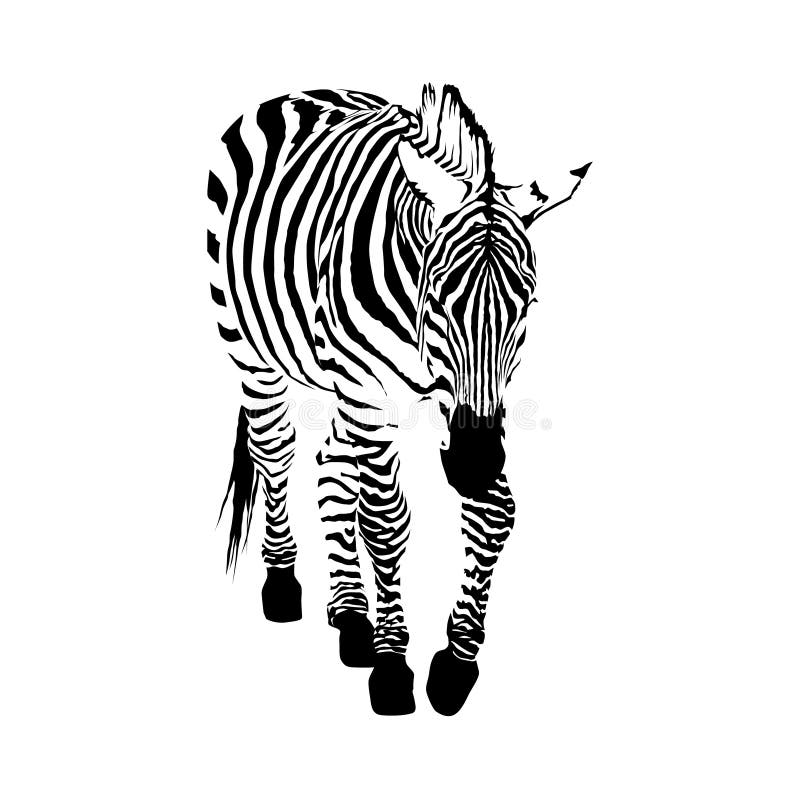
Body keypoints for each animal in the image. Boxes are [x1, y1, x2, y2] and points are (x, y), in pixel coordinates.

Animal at [205, 84, 588, 715]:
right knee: (275, 451)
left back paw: (350, 615)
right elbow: (385, 520)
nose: (474, 463)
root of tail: (301, 91)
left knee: (330, 466)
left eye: (527, 305)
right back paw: (285, 584)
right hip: (251, 349)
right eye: (439, 298)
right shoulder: (370, 390)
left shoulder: (456, 409)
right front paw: (391, 667)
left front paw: (456, 663)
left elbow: (495, 513)